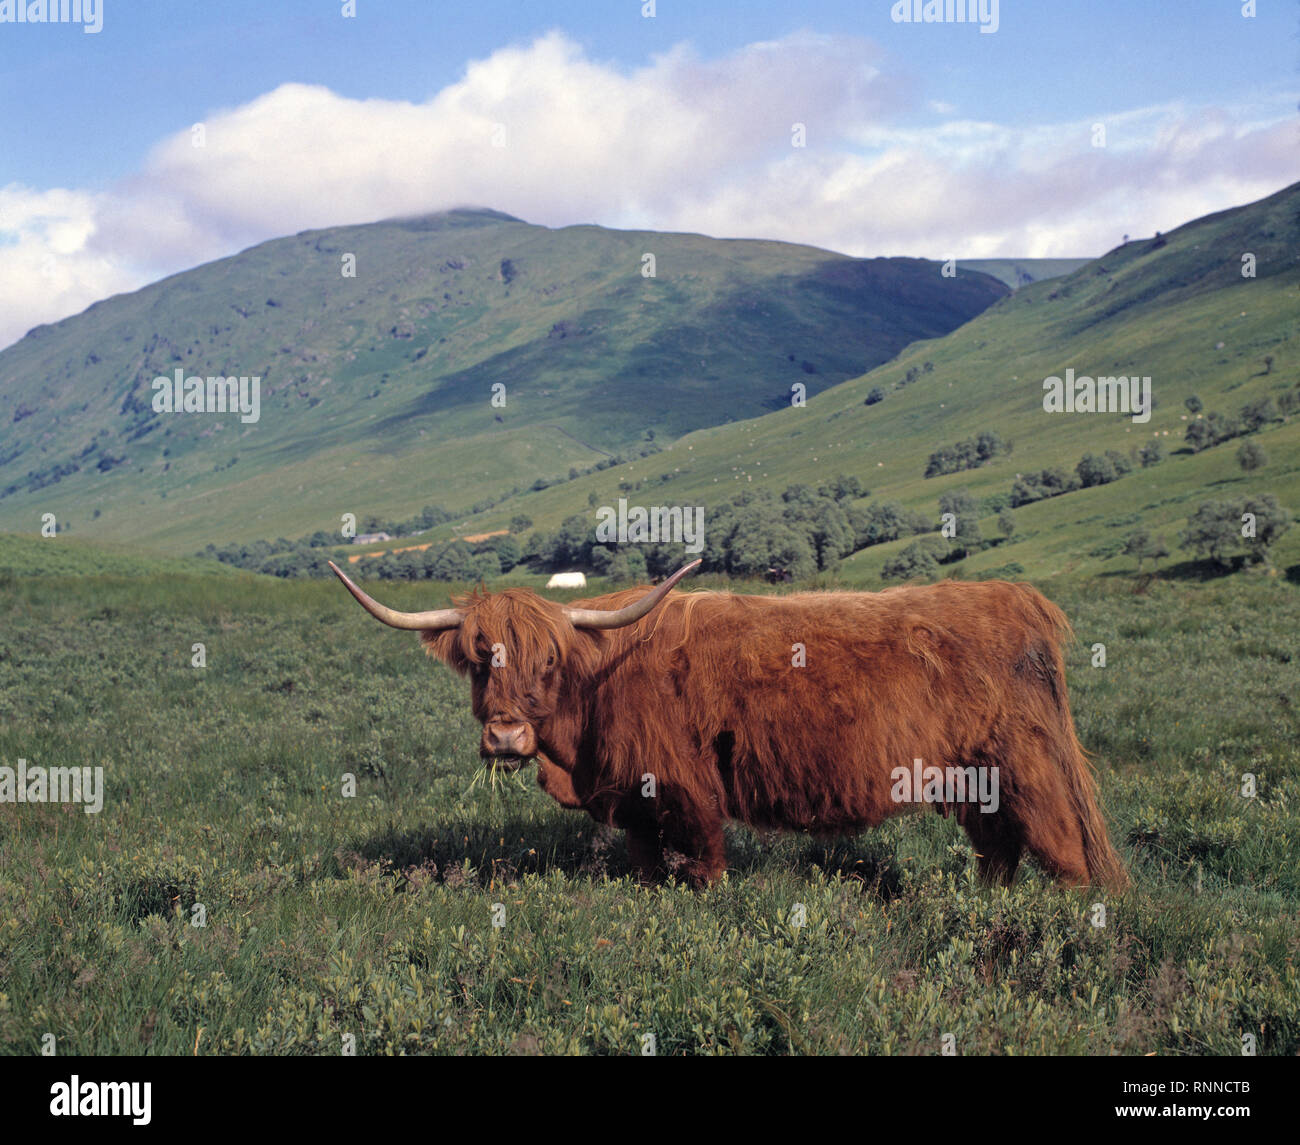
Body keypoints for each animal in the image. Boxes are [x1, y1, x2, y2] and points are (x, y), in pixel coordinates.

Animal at [329, 559, 1127, 891]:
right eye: (477, 658)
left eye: (549, 658)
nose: (504, 738)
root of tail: (1015, 597)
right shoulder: (633, 798)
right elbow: (646, 862)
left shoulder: (685, 782)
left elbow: (706, 859)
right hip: (972, 781)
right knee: (998, 849)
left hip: (1024, 766)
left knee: (1063, 849)